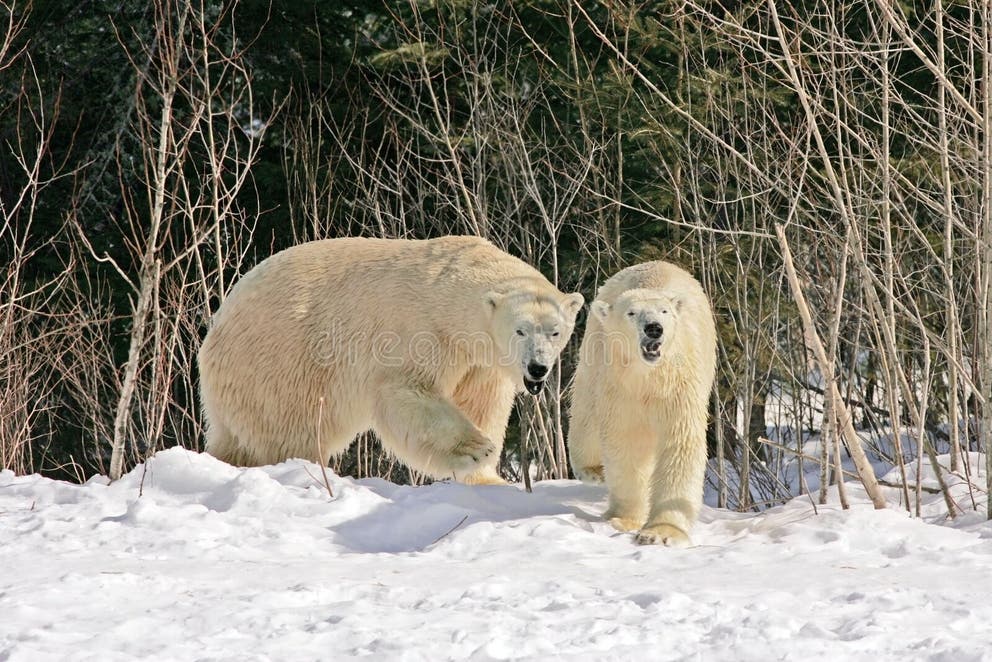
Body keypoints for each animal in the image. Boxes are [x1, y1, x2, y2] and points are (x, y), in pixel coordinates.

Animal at [198, 235, 584, 485]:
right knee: (289, 428)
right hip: (280, 362)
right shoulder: (420, 331)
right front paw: (476, 449)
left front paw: (488, 478)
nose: (537, 367)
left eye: (555, 331)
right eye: (520, 330)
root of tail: (219, 323)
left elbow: (481, 404)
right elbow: (408, 392)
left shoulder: (480, 362)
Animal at [567, 261, 716, 546]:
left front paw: (661, 533)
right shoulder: (622, 390)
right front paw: (624, 520)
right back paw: (591, 469)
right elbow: (627, 442)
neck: (648, 376)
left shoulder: (678, 388)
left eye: (664, 311)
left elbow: (679, 444)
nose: (654, 328)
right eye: (631, 313)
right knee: (586, 403)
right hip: (596, 340)